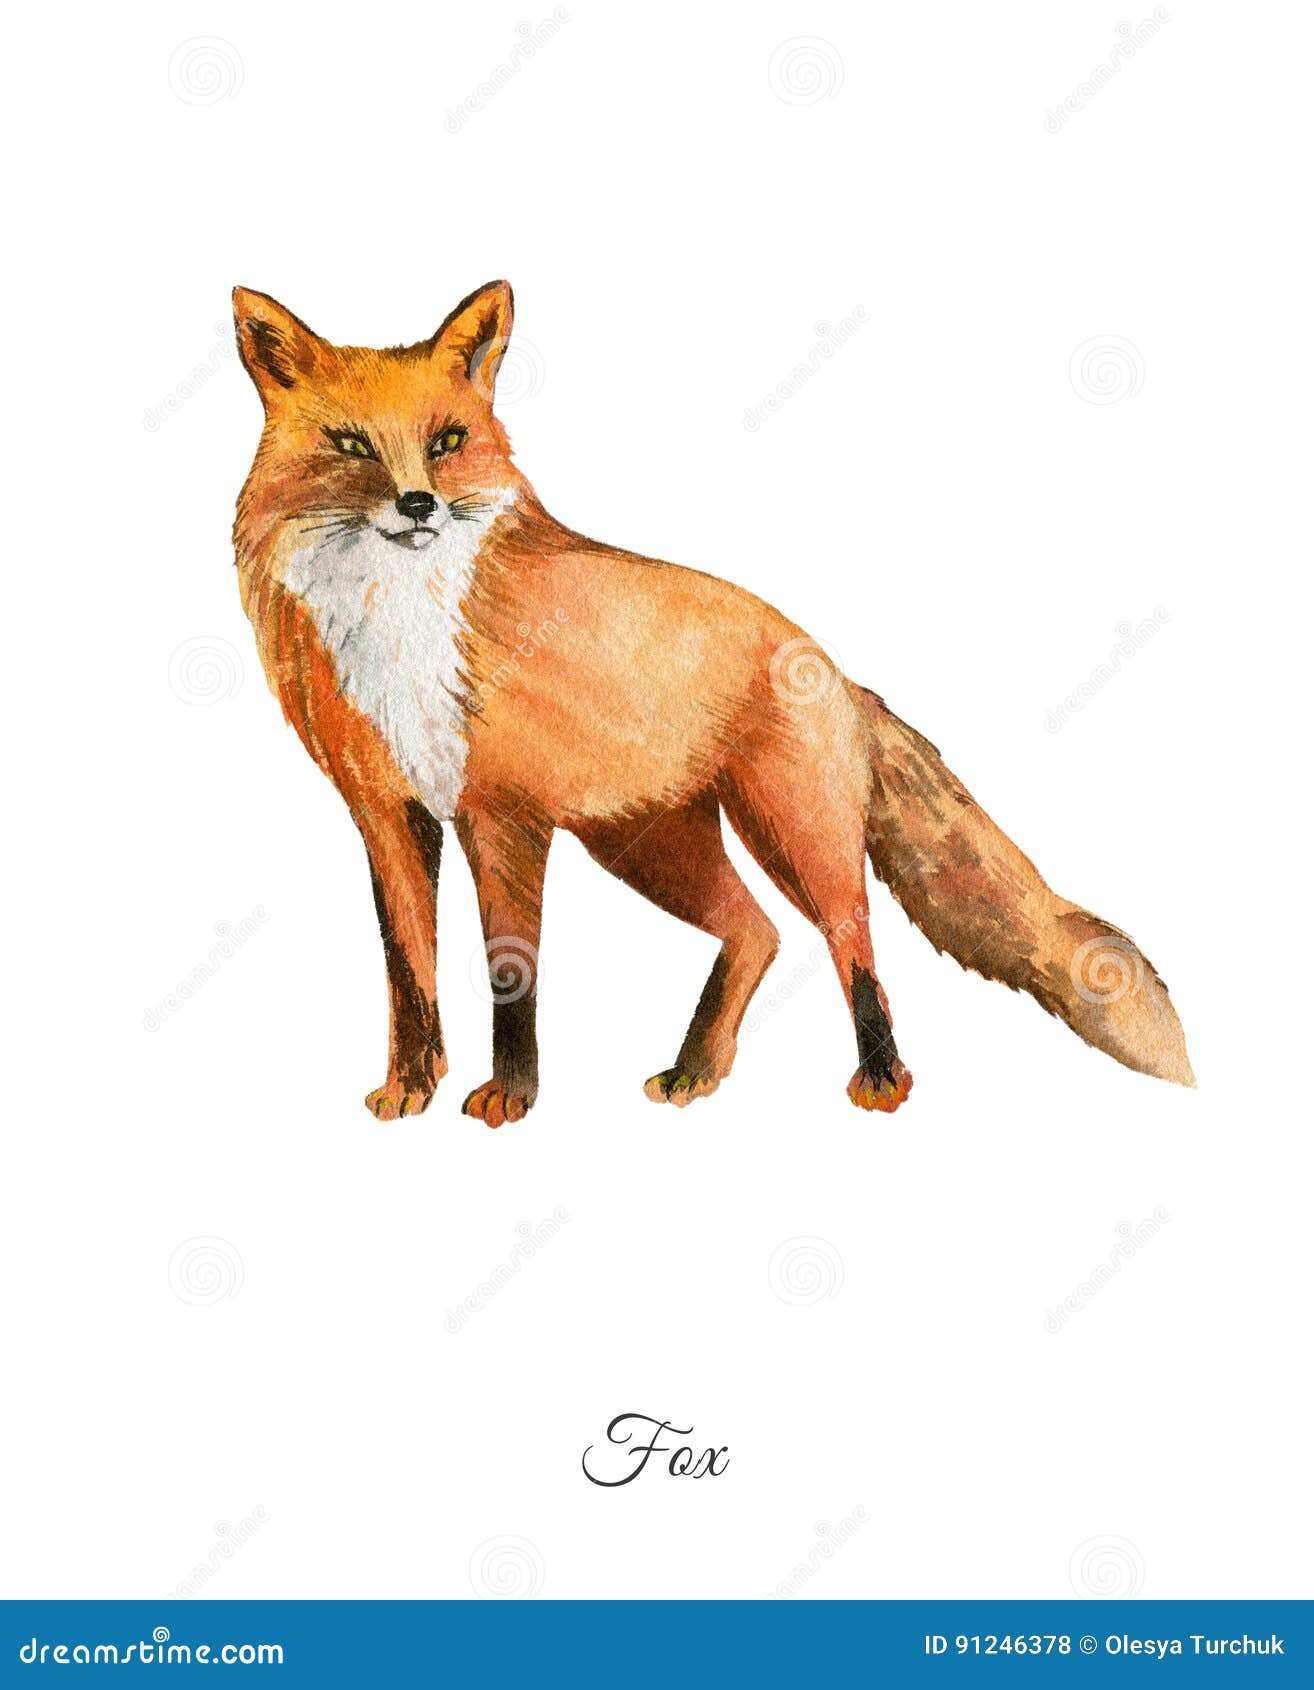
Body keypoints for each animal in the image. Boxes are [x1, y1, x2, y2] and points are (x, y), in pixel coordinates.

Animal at [232, 280, 1193, 1125]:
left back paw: (882, 1079)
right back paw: (698, 1069)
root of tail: (834, 667)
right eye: (352, 446)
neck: (401, 626)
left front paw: (510, 1097)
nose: (418, 503)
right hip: (652, 850)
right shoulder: (389, 813)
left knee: (853, 943)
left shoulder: (503, 815)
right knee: (758, 933)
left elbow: (511, 972)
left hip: (794, 836)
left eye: (447, 440)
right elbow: (408, 972)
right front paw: (412, 1088)